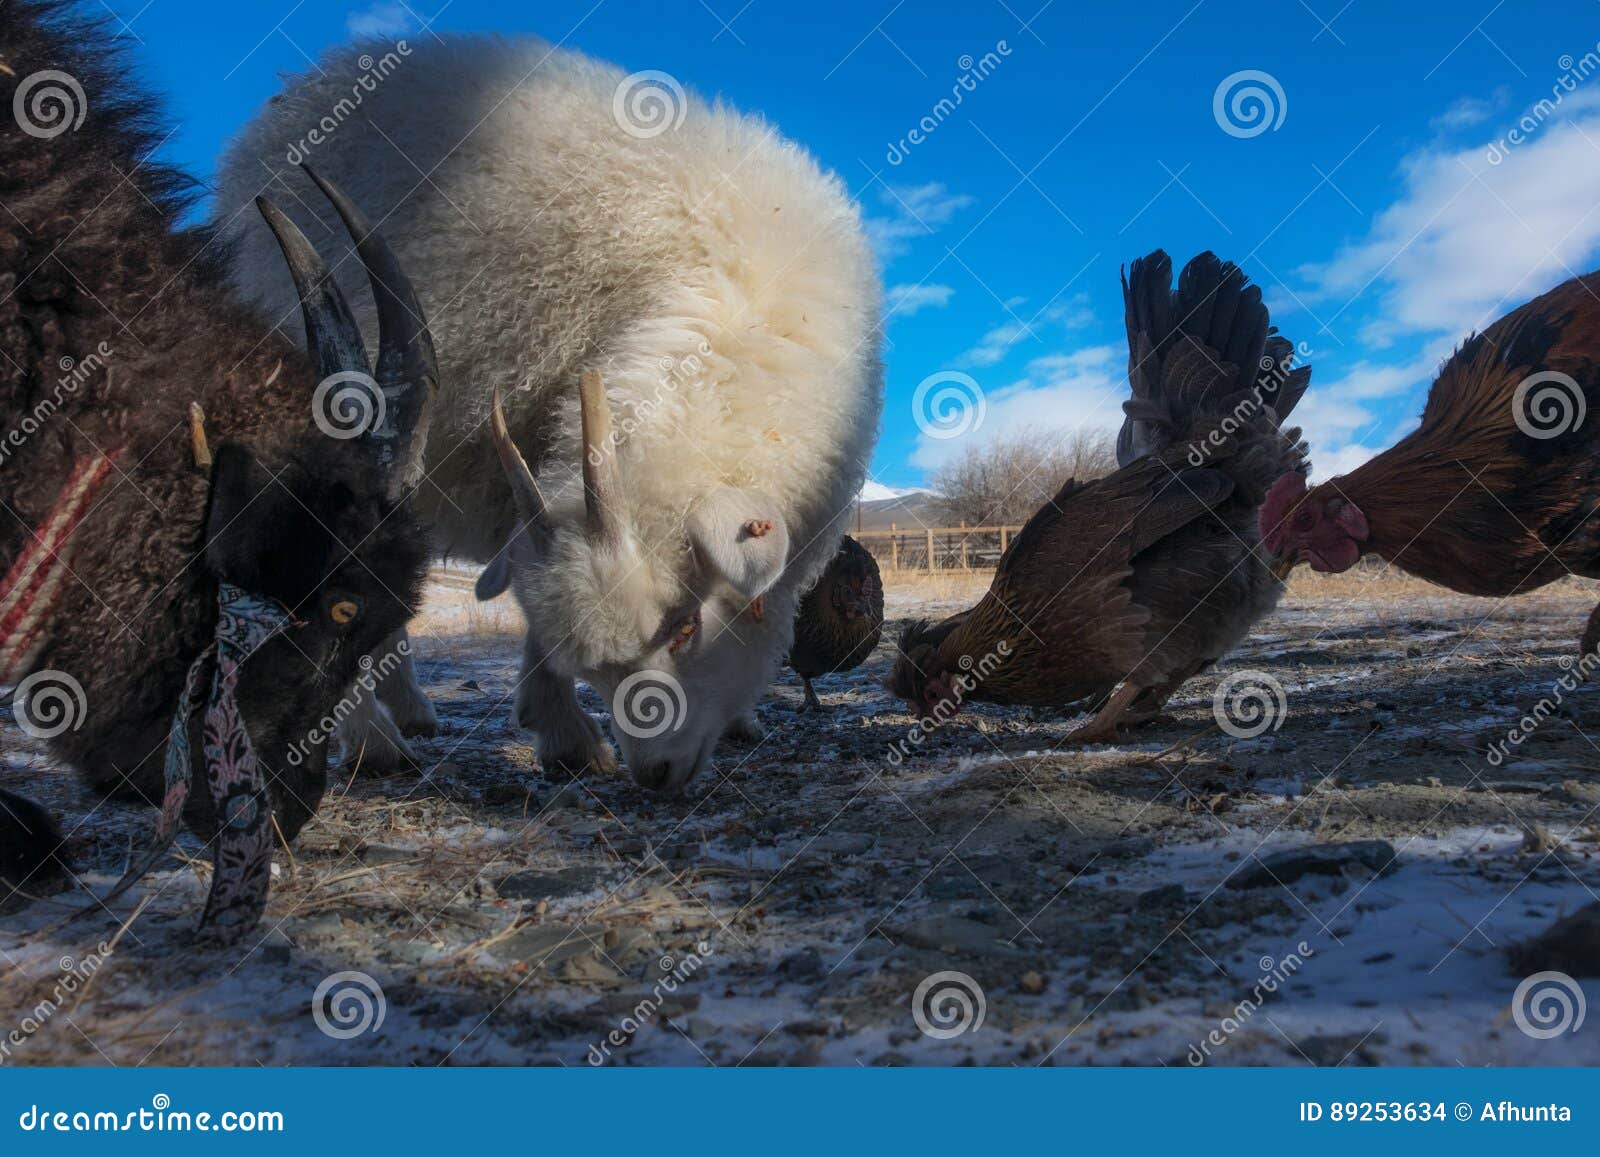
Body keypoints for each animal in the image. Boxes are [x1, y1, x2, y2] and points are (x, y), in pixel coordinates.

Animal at [214, 34, 883, 792]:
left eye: (686, 626)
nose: (656, 774)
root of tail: (308, 82)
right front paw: (562, 731)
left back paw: (408, 706)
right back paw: (371, 737)